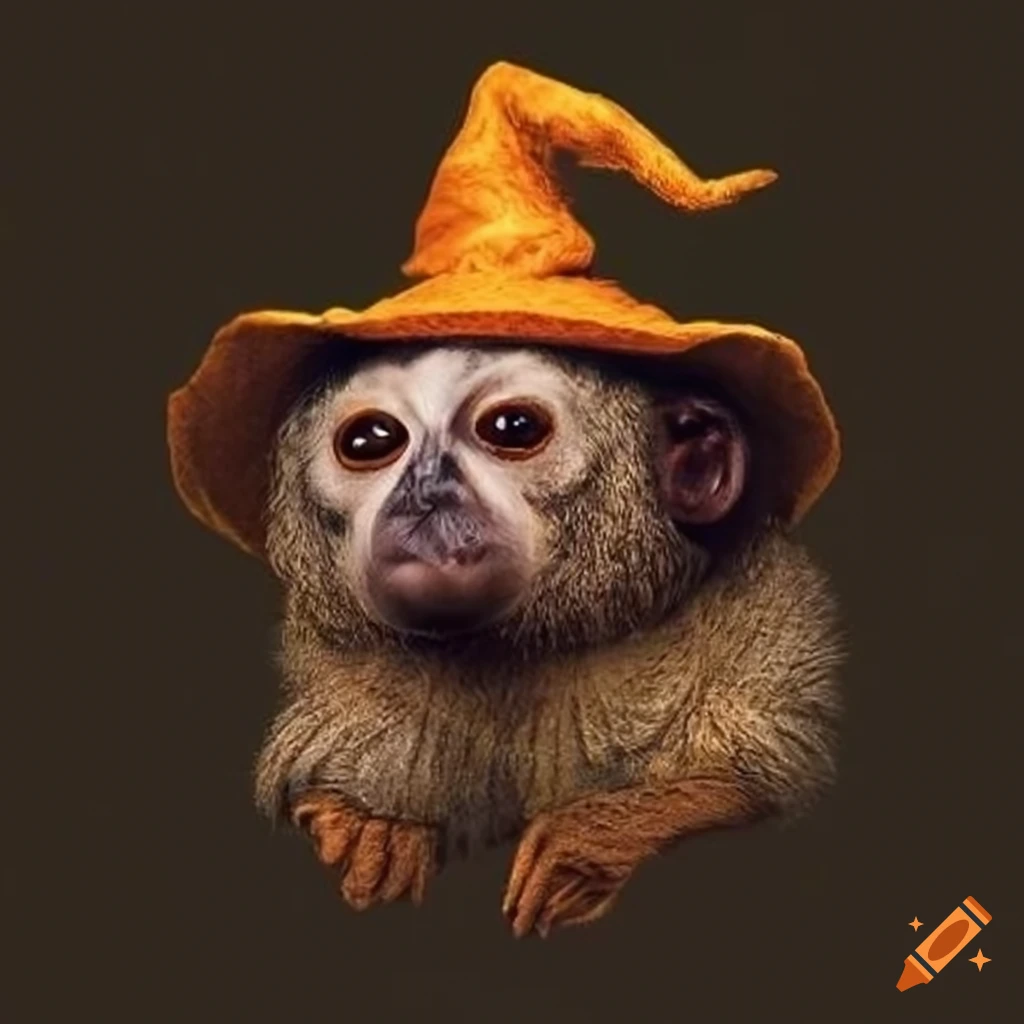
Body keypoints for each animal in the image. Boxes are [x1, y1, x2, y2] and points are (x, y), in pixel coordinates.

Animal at [252, 336, 843, 939]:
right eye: (371, 440)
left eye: (513, 428)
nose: (425, 493)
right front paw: (375, 828)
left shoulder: (771, 611)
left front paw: (601, 833)